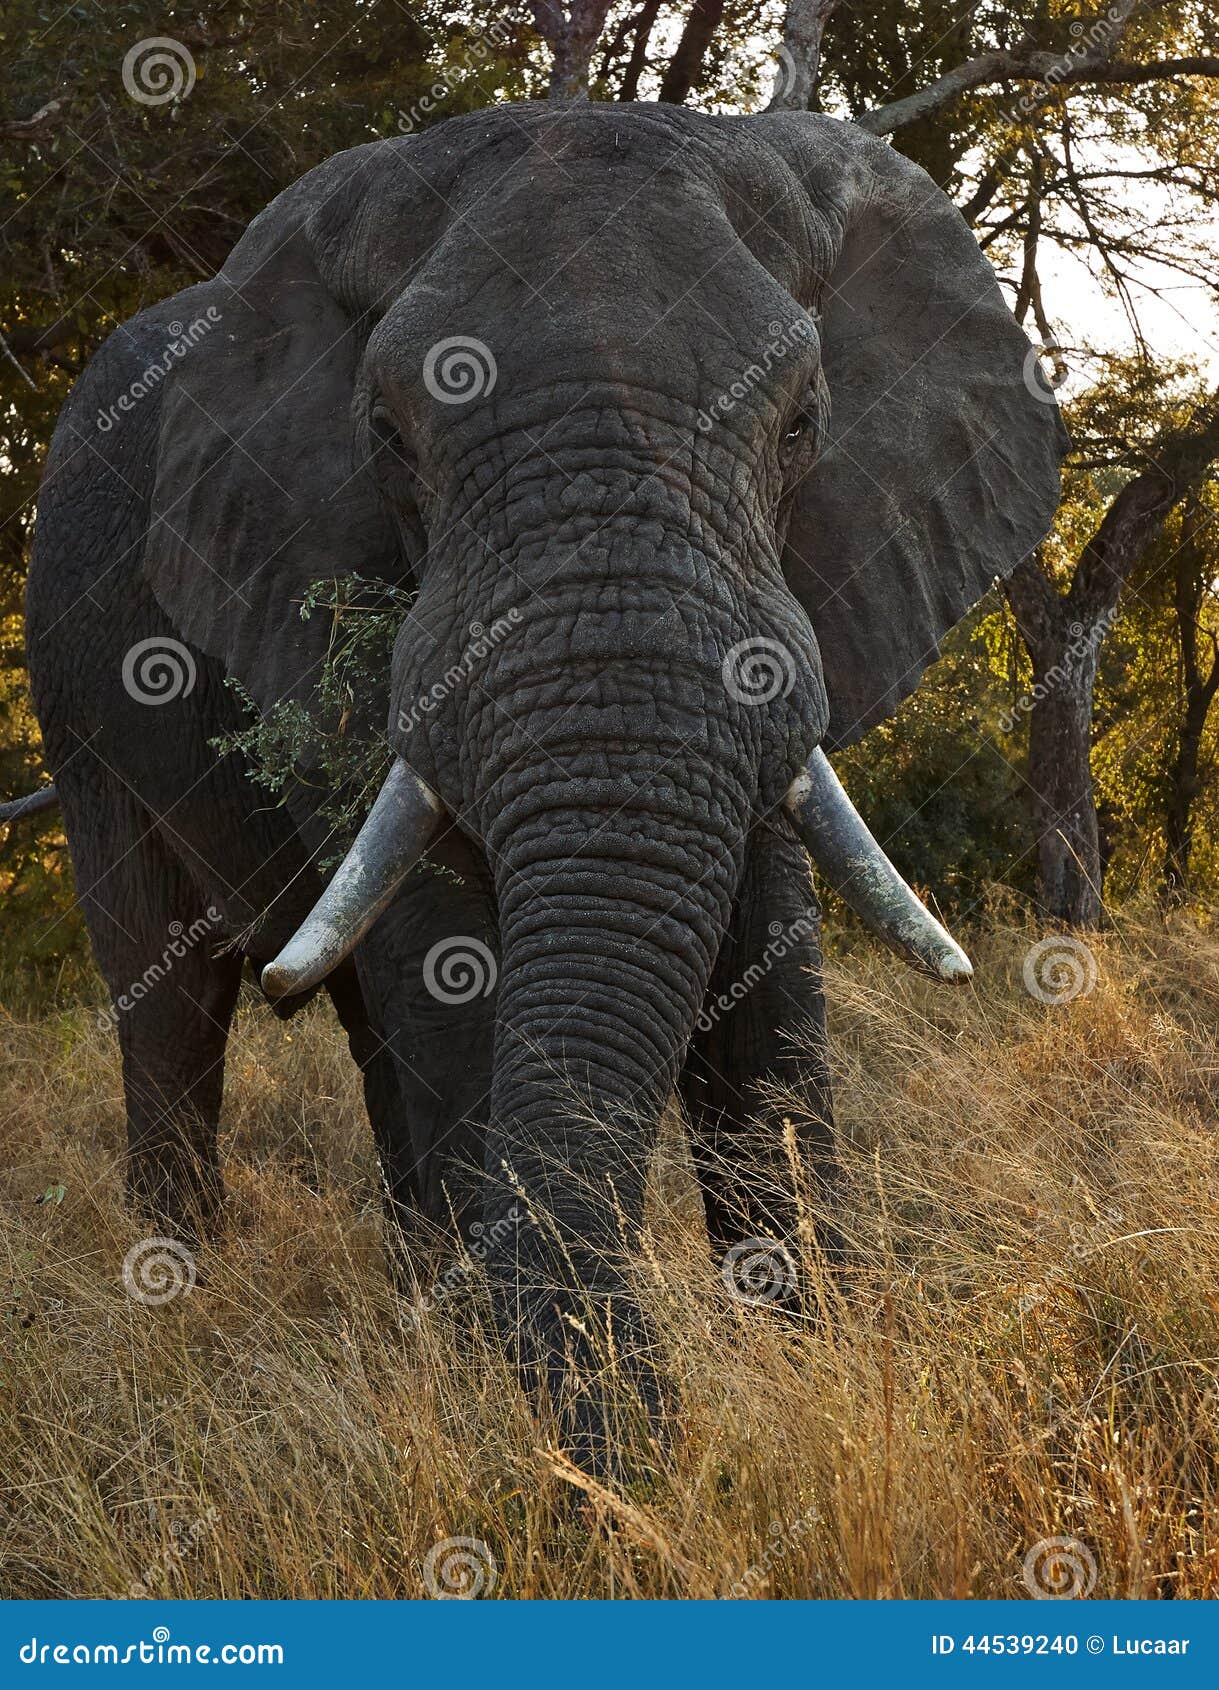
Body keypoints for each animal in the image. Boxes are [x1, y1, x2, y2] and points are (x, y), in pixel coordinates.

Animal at [19, 100, 1064, 1464]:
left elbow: (765, 963)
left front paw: (816, 1352)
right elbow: (453, 957)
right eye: (385, 437)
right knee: (168, 989)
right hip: (76, 690)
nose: (665, 1449)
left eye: (799, 425)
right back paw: (180, 1298)